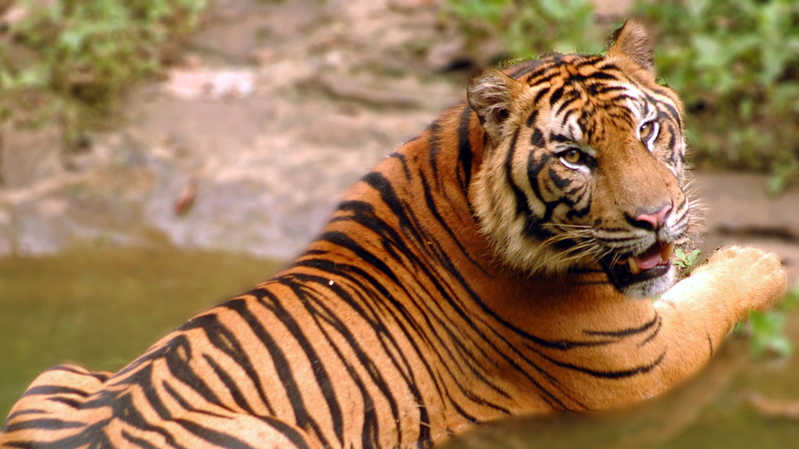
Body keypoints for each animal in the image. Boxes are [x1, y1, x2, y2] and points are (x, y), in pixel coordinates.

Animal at [1, 19, 788, 449]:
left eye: (648, 130)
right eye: (574, 157)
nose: (655, 216)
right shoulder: (640, 363)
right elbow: (710, 302)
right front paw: (763, 261)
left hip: (56, 374)